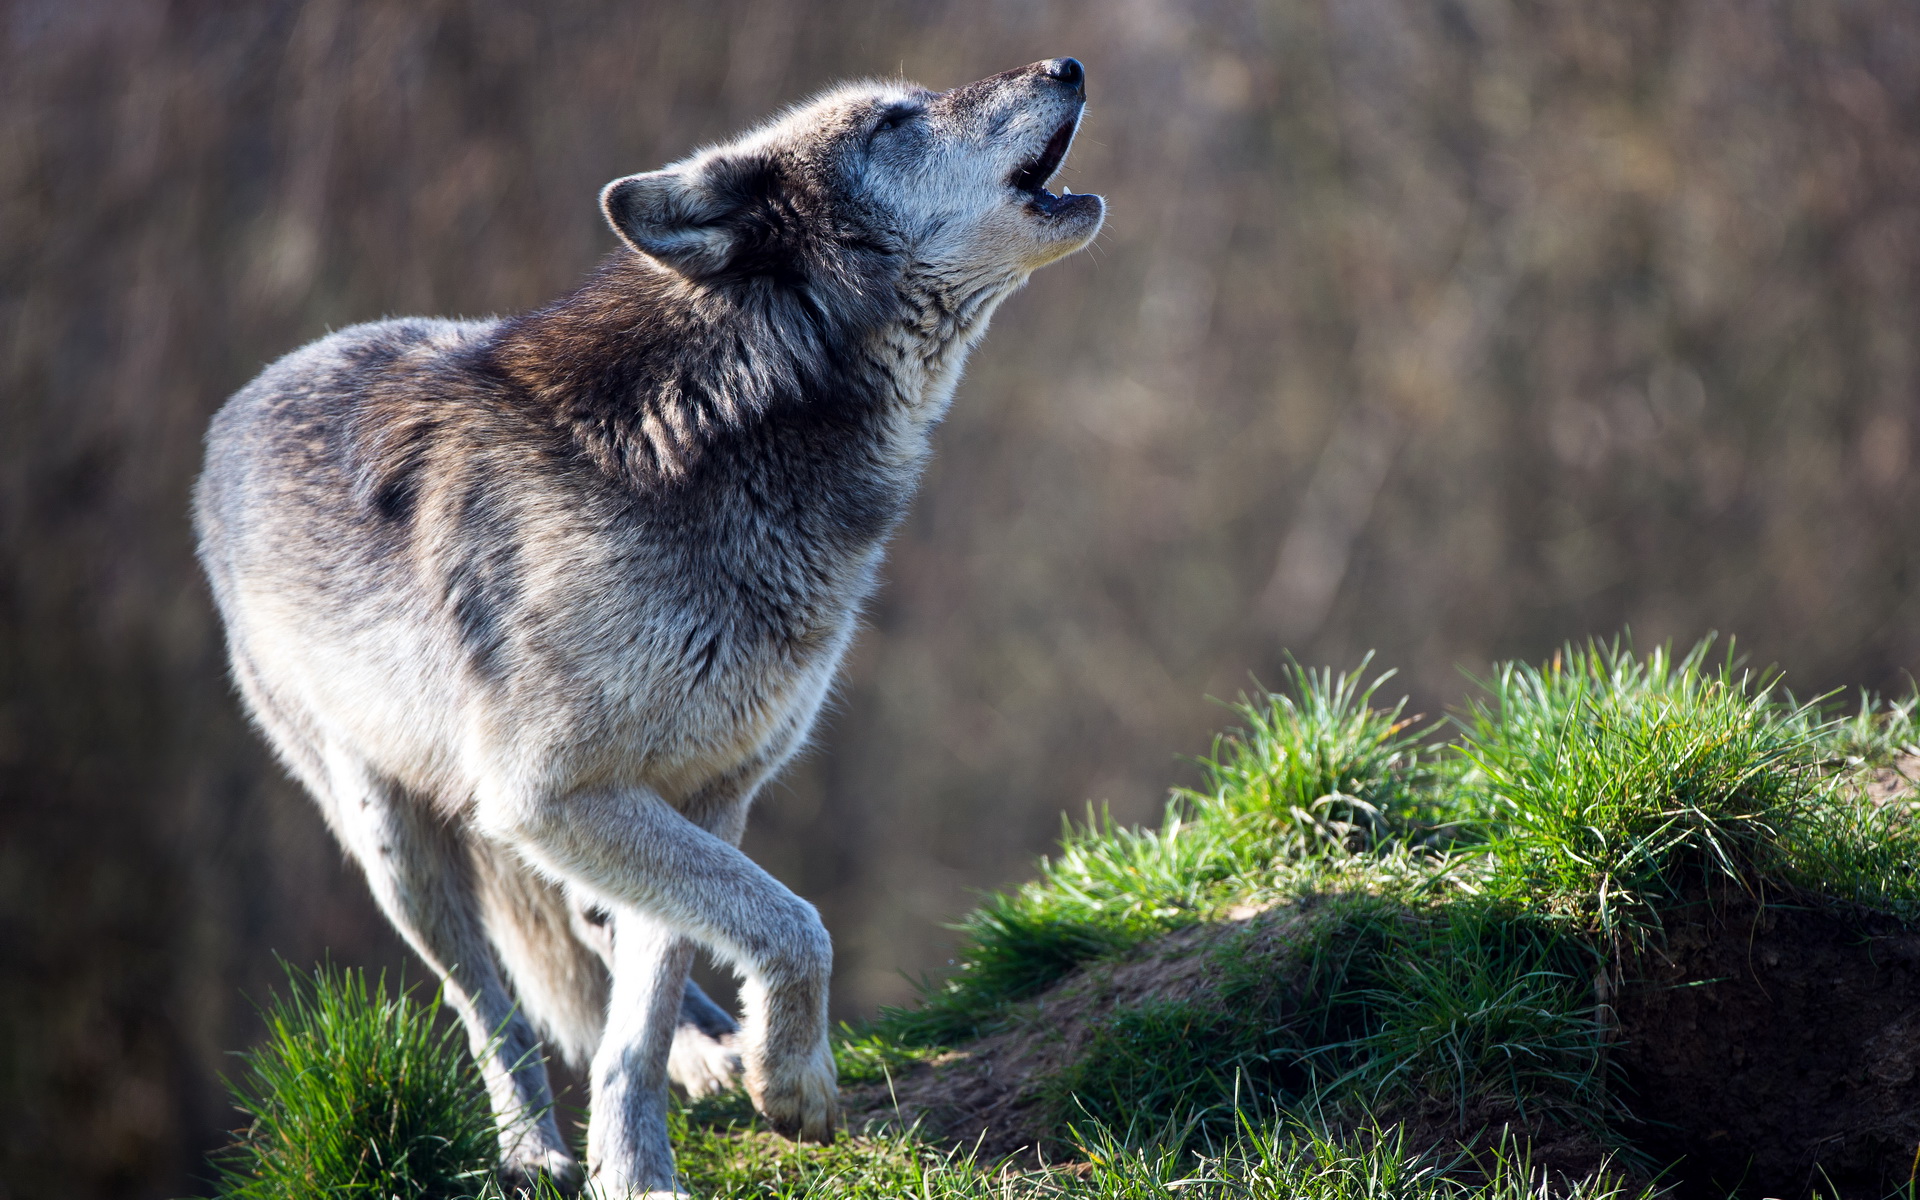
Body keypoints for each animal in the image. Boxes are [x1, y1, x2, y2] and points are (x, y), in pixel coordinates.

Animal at [193, 57, 1102, 1196]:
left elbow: (656, 997)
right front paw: (787, 1086)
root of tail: (234, 412)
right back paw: (534, 1149)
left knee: (599, 931)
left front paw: (647, 1157)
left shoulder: (705, 789)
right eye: (895, 121)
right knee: (486, 1002)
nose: (1066, 65)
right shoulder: (548, 794)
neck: (722, 428)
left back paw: (701, 1057)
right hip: (396, 843)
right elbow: (796, 925)